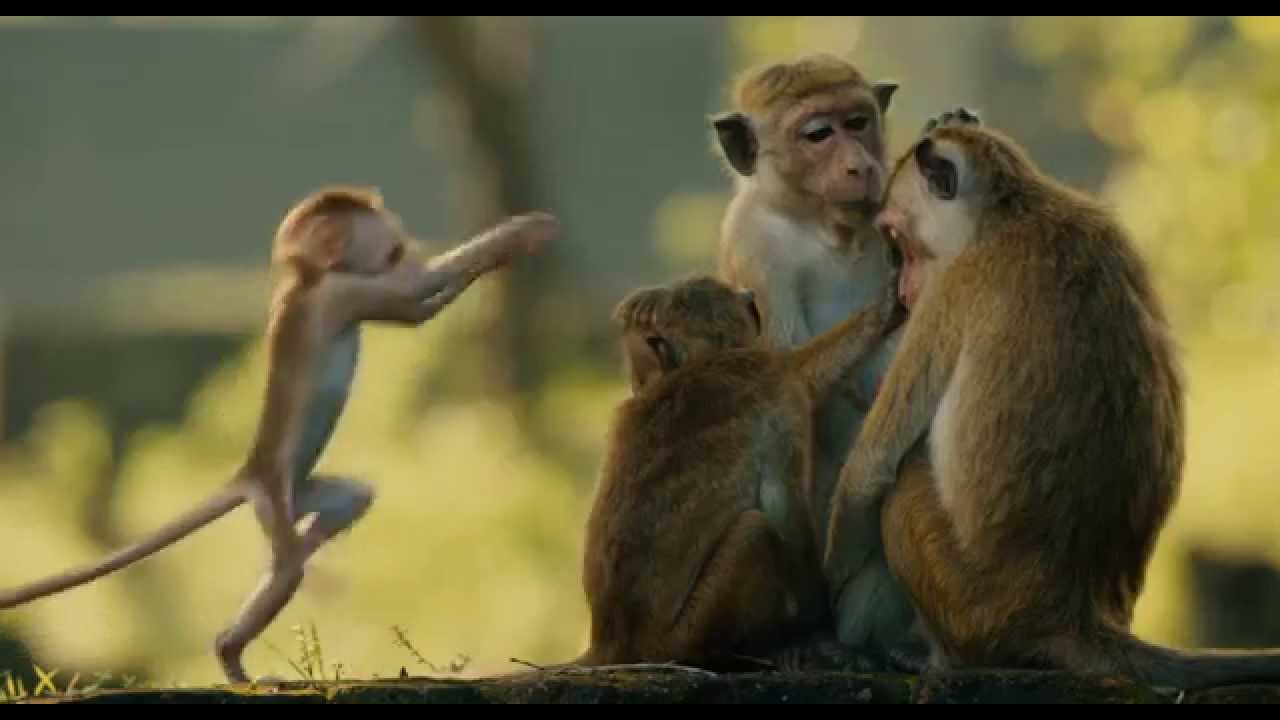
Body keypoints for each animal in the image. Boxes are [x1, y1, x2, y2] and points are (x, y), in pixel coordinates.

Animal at [0, 186, 560, 684]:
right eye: (390, 244)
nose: (403, 246)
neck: (311, 277)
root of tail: (248, 472)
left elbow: (418, 309)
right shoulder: (344, 292)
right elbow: (419, 299)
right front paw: (524, 233)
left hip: (299, 488)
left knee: (348, 501)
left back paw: (310, 545)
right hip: (271, 497)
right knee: (288, 568)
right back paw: (233, 650)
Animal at [574, 271, 905, 670]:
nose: (636, 381)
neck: (708, 359)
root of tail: (612, 647)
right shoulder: (772, 386)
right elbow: (786, 510)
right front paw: (817, 632)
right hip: (683, 638)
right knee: (754, 532)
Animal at [709, 52, 921, 664]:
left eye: (858, 122)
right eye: (818, 135)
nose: (859, 165)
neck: (826, 226)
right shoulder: (755, 246)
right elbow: (776, 380)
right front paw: (886, 303)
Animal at [824, 107, 1280, 689]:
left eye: (900, 243)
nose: (904, 291)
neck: (1012, 212)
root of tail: (1071, 614)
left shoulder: (951, 291)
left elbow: (871, 471)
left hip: (967, 600)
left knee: (904, 483)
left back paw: (944, 658)